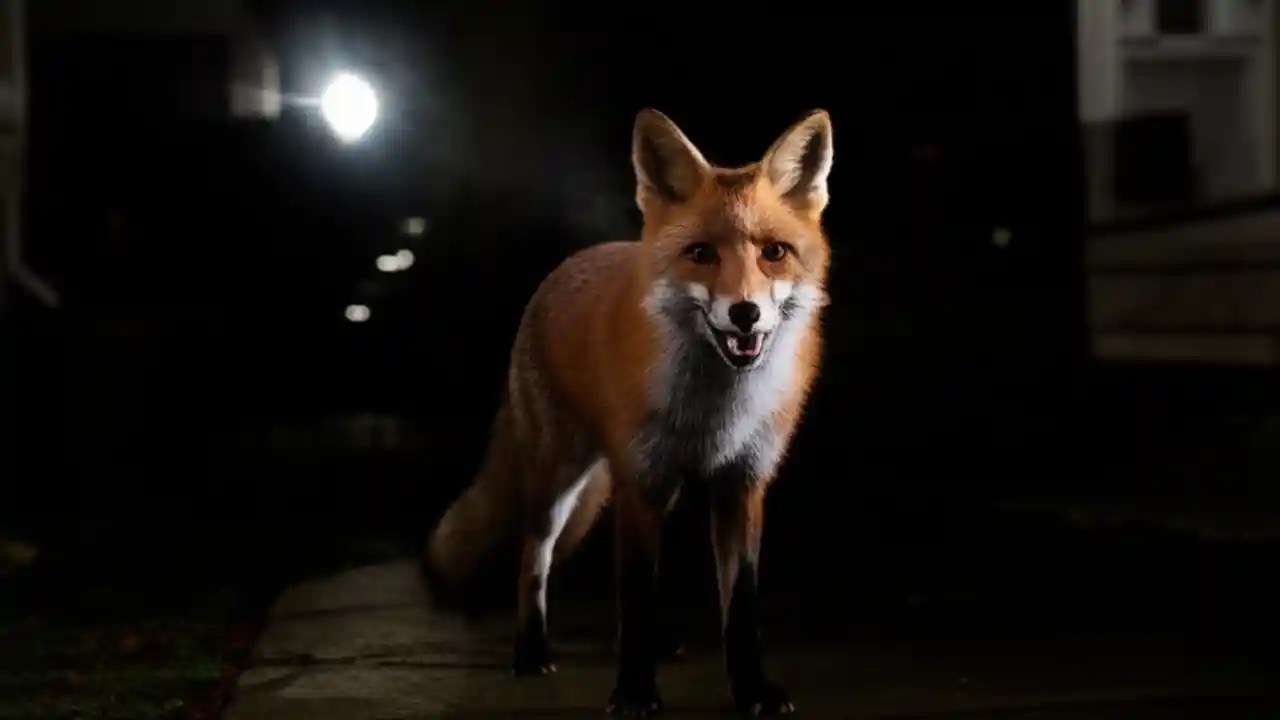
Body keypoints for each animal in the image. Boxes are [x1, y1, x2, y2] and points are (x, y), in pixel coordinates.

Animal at [424, 107, 833, 716]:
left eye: (774, 252)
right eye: (702, 253)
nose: (745, 313)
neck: (717, 408)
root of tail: (577, 259)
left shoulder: (741, 483)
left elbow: (739, 607)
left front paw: (752, 688)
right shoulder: (643, 477)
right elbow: (636, 593)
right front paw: (636, 692)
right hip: (560, 475)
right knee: (533, 556)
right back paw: (530, 649)